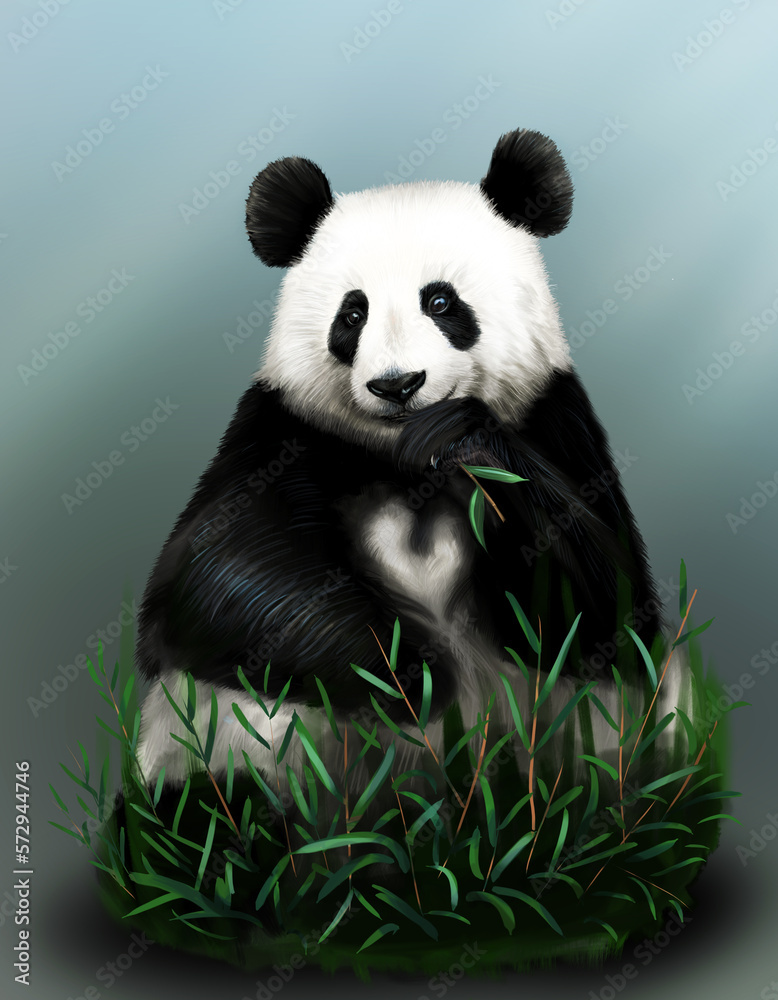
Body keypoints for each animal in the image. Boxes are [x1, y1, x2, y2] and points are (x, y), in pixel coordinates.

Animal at [134, 128, 689, 878]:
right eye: (352, 312)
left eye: (442, 303)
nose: (398, 385)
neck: (403, 462)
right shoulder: (276, 433)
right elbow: (216, 578)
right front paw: (416, 676)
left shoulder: (557, 422)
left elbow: (606, 615)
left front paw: (464, 437)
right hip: (218, 746)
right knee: (213, 801)